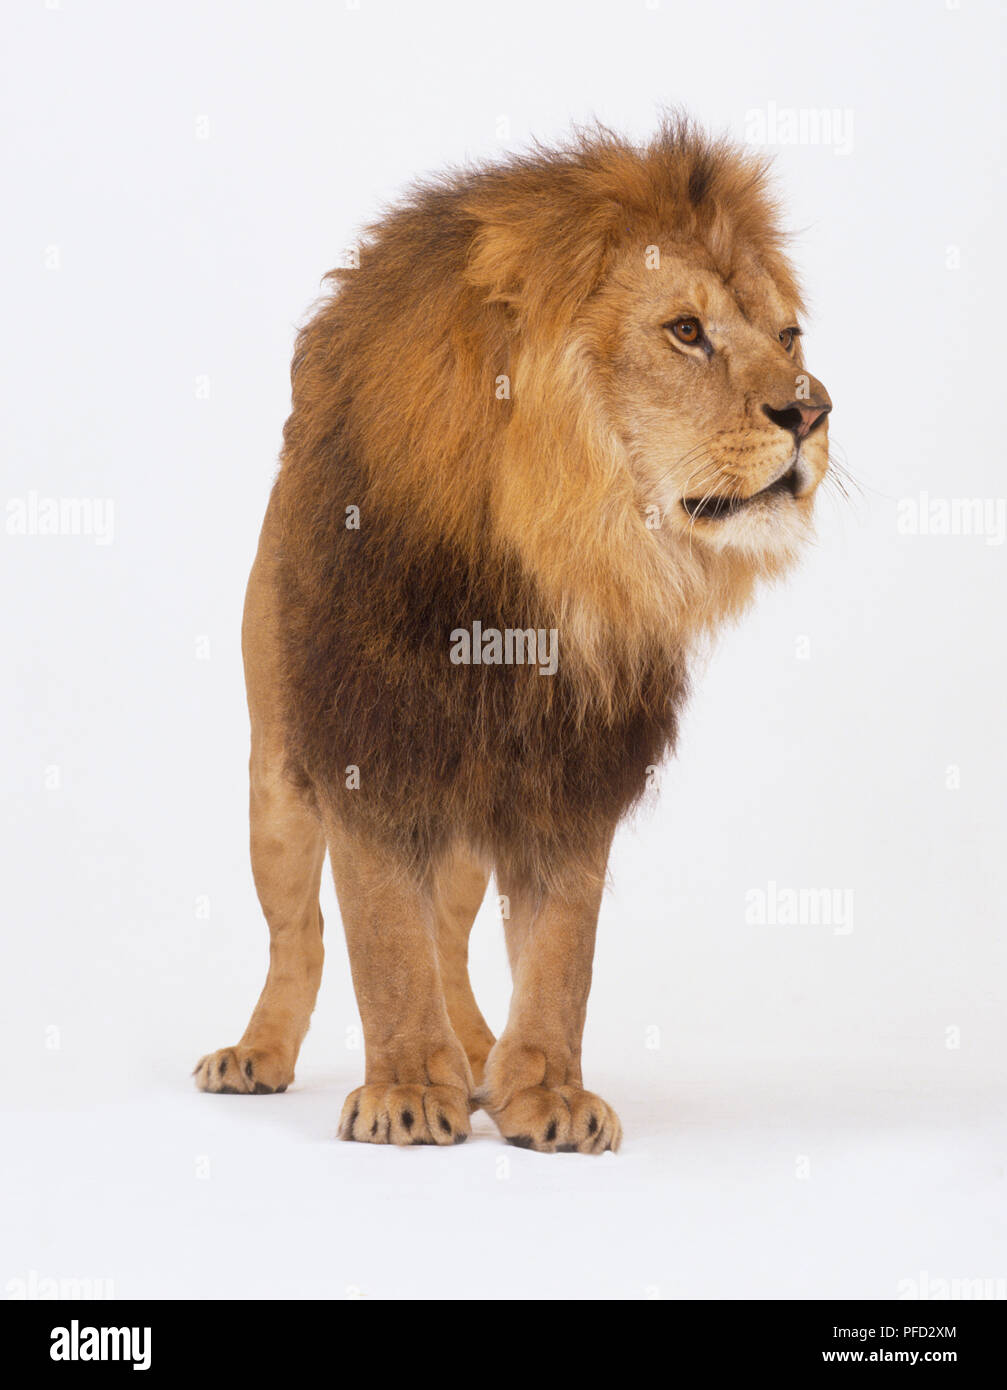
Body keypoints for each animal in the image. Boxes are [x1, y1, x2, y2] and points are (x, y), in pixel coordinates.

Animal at [194, 119, 832, 1153]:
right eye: (685, 331)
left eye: (787, 336)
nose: (811, 411)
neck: (545, 573)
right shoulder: (370, 750)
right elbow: (382, 937)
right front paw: (408, 1090)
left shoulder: (572, 775)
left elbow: (560, 956)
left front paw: (544, 1095)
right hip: (276, 781)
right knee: (303, 935)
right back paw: (264, 1054)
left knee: (450, 941)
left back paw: (478, 1059)